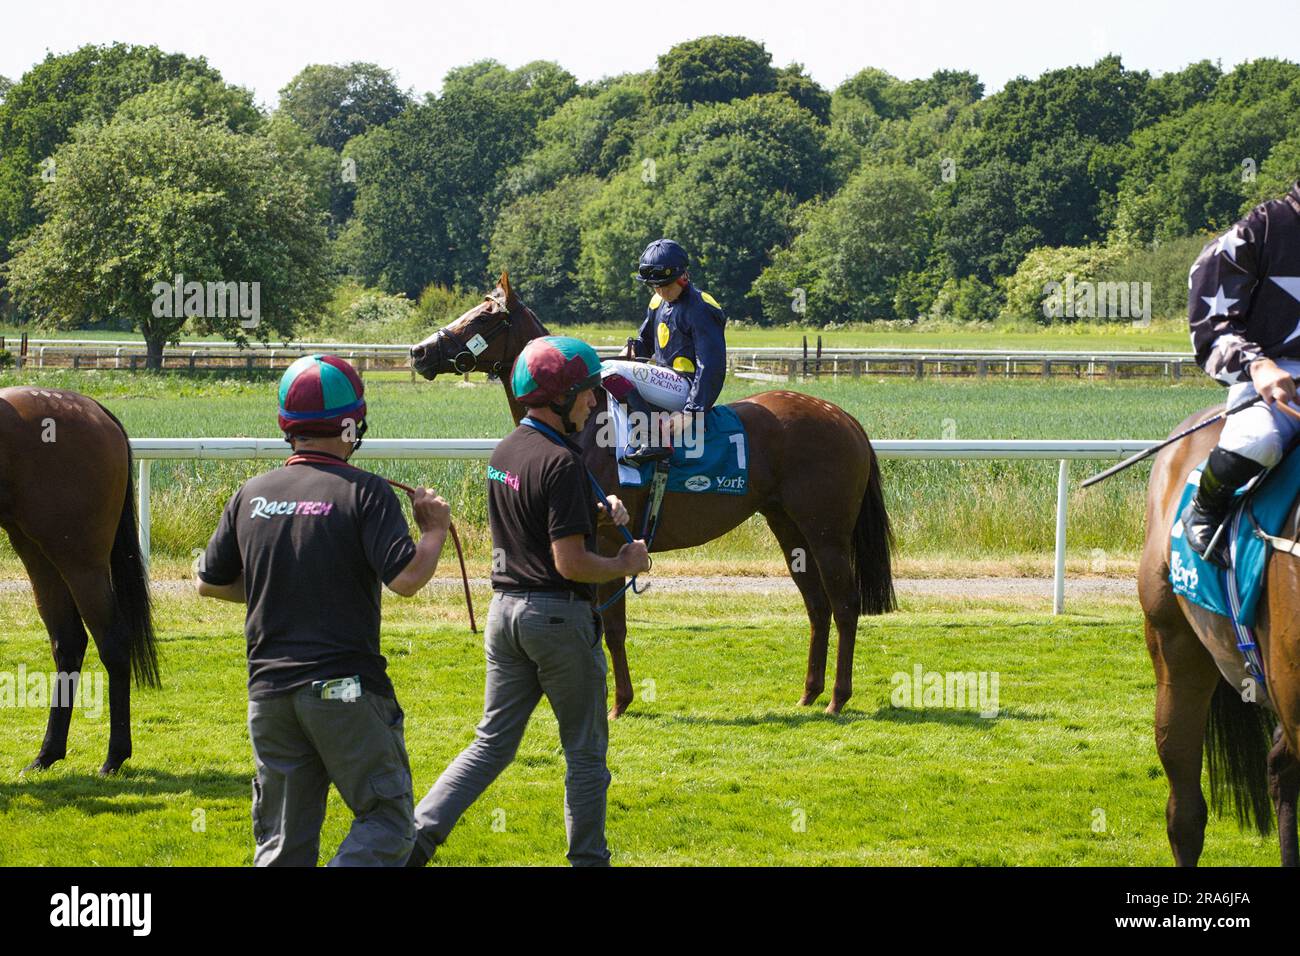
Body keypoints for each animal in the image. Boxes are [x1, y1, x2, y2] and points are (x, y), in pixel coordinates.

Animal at [0, 386, 158, 775]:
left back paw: (114, 756)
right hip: (37, 550)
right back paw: (47, 753)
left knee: (112, 641)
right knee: (68, 641)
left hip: (80, 560)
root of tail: (92, 408)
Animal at [411, 274, 895, 717]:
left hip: (827, 532)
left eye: (484, 316)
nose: (418, 352)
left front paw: (619, 703)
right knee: (817, 606)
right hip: (789, 527)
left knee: (845, 605)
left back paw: (837, 698)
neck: (584, 428)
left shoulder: (608, 539)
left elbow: (613, 626)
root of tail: (843, 417)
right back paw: (810, 693)